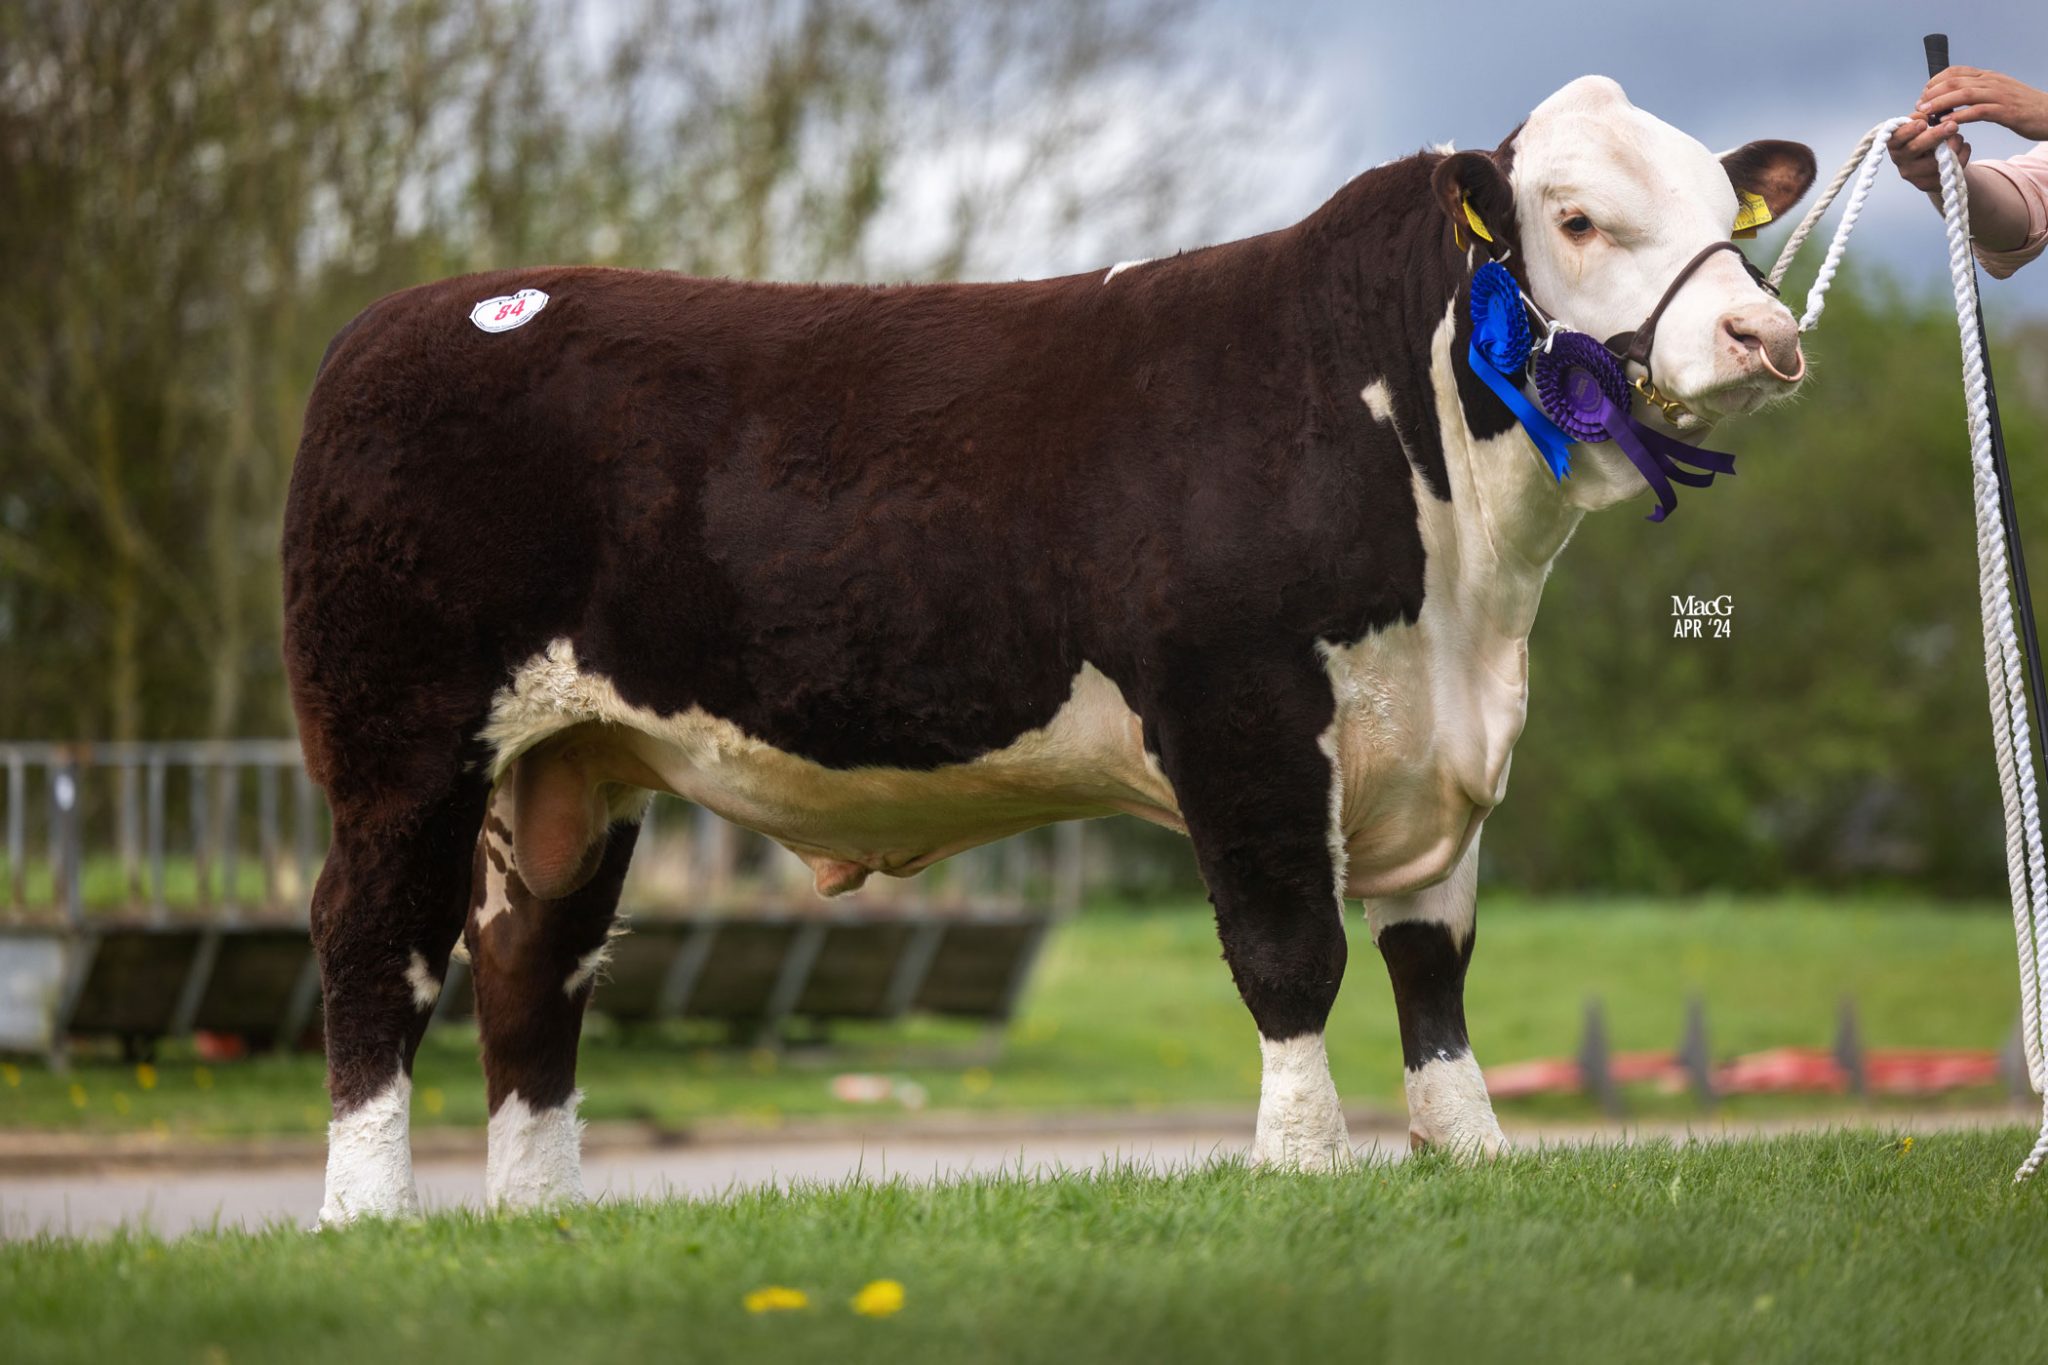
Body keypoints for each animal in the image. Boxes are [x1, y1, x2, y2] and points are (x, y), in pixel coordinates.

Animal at [284, 75, 1816, 1224]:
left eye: (1724, 214)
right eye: (1578, 218)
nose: (1765, 331)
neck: (1467, 588)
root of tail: (398, 319)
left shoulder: (1439, 750)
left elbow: (1432, 970)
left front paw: (1473, 1155)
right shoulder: (1239, 711)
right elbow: (1290, 952)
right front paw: (1301, 1166)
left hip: (574, 762)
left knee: (531, 965)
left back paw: (535, 1222)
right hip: (400, 740)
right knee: (376, 940)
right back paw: (367, 1215)